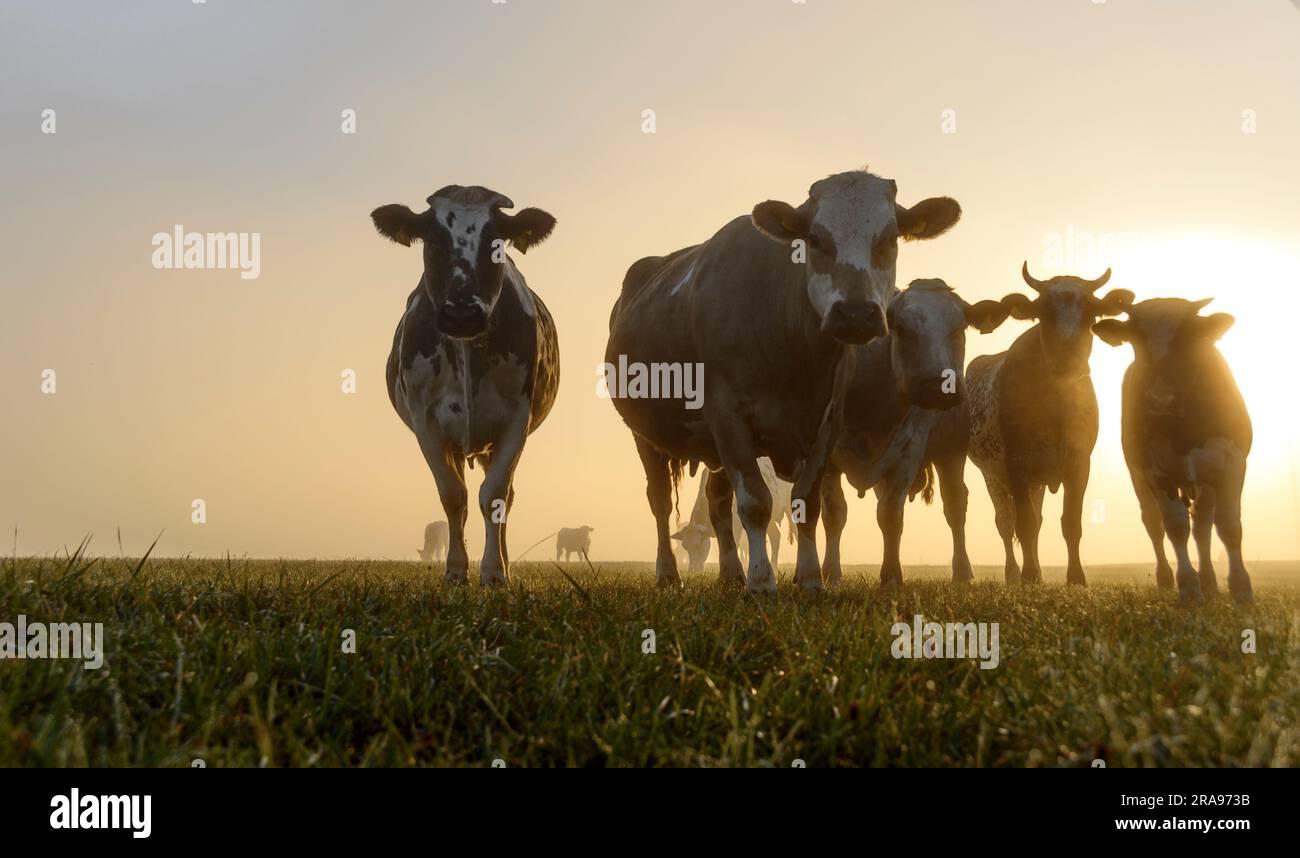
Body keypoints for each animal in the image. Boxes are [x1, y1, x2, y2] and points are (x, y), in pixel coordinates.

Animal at [373, 185, 559, 587]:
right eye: (432, 240)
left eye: (496, 242)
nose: (461, 313)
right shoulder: (426, 422)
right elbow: (452, 496)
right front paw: (456, 570)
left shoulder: (516, 421)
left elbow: (494, 497)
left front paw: (494, 571)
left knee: (506, 497)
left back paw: (504, 562)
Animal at [606, 169, 962, 592]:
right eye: (815, 239)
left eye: (890, 238)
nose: (855, 314)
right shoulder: (727, 415)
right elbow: (755, 503)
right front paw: (762, 580)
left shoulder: (828, 422)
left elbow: (807, 504)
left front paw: (809, 579)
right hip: (645, 436)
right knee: (660, 501)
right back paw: (668, 573)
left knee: (718, 502)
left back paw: (730, 573)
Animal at [820, 280, 1009, 586]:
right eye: (902, 328)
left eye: (959, 328)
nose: (938, 388)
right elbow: (834, 513)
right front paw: (830, 573)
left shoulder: (909, 450)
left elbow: (890, 514)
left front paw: (891, 575)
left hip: (951, 452)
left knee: (955, 505)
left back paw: (962, 571)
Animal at [966, 262, 1133, 586]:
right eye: (1044, 313)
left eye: (1092, 314)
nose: (1069, 362)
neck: (1055, 404)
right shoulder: (1017, 464)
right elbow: (1024, 524)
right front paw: (1029, 575)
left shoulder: (1079, 462)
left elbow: (1070, 522)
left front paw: (1075, 577)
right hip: (993, 475)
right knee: (1006, 523)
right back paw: (1014, 574)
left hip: (1037, 481)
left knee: (1036, 520)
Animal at [1093, 298, 1253, 604]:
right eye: (1136, 340)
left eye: (1188, 337)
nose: (1160, 400)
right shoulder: (1156, 470)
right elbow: (1176, 527)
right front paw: (1189, 588)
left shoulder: (1232, 461)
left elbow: (1229, 525)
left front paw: (1241, 589)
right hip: (1138, 476)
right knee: (1154, 523)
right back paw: (1167, 578)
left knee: (1203, 524)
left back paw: (1210, 580)